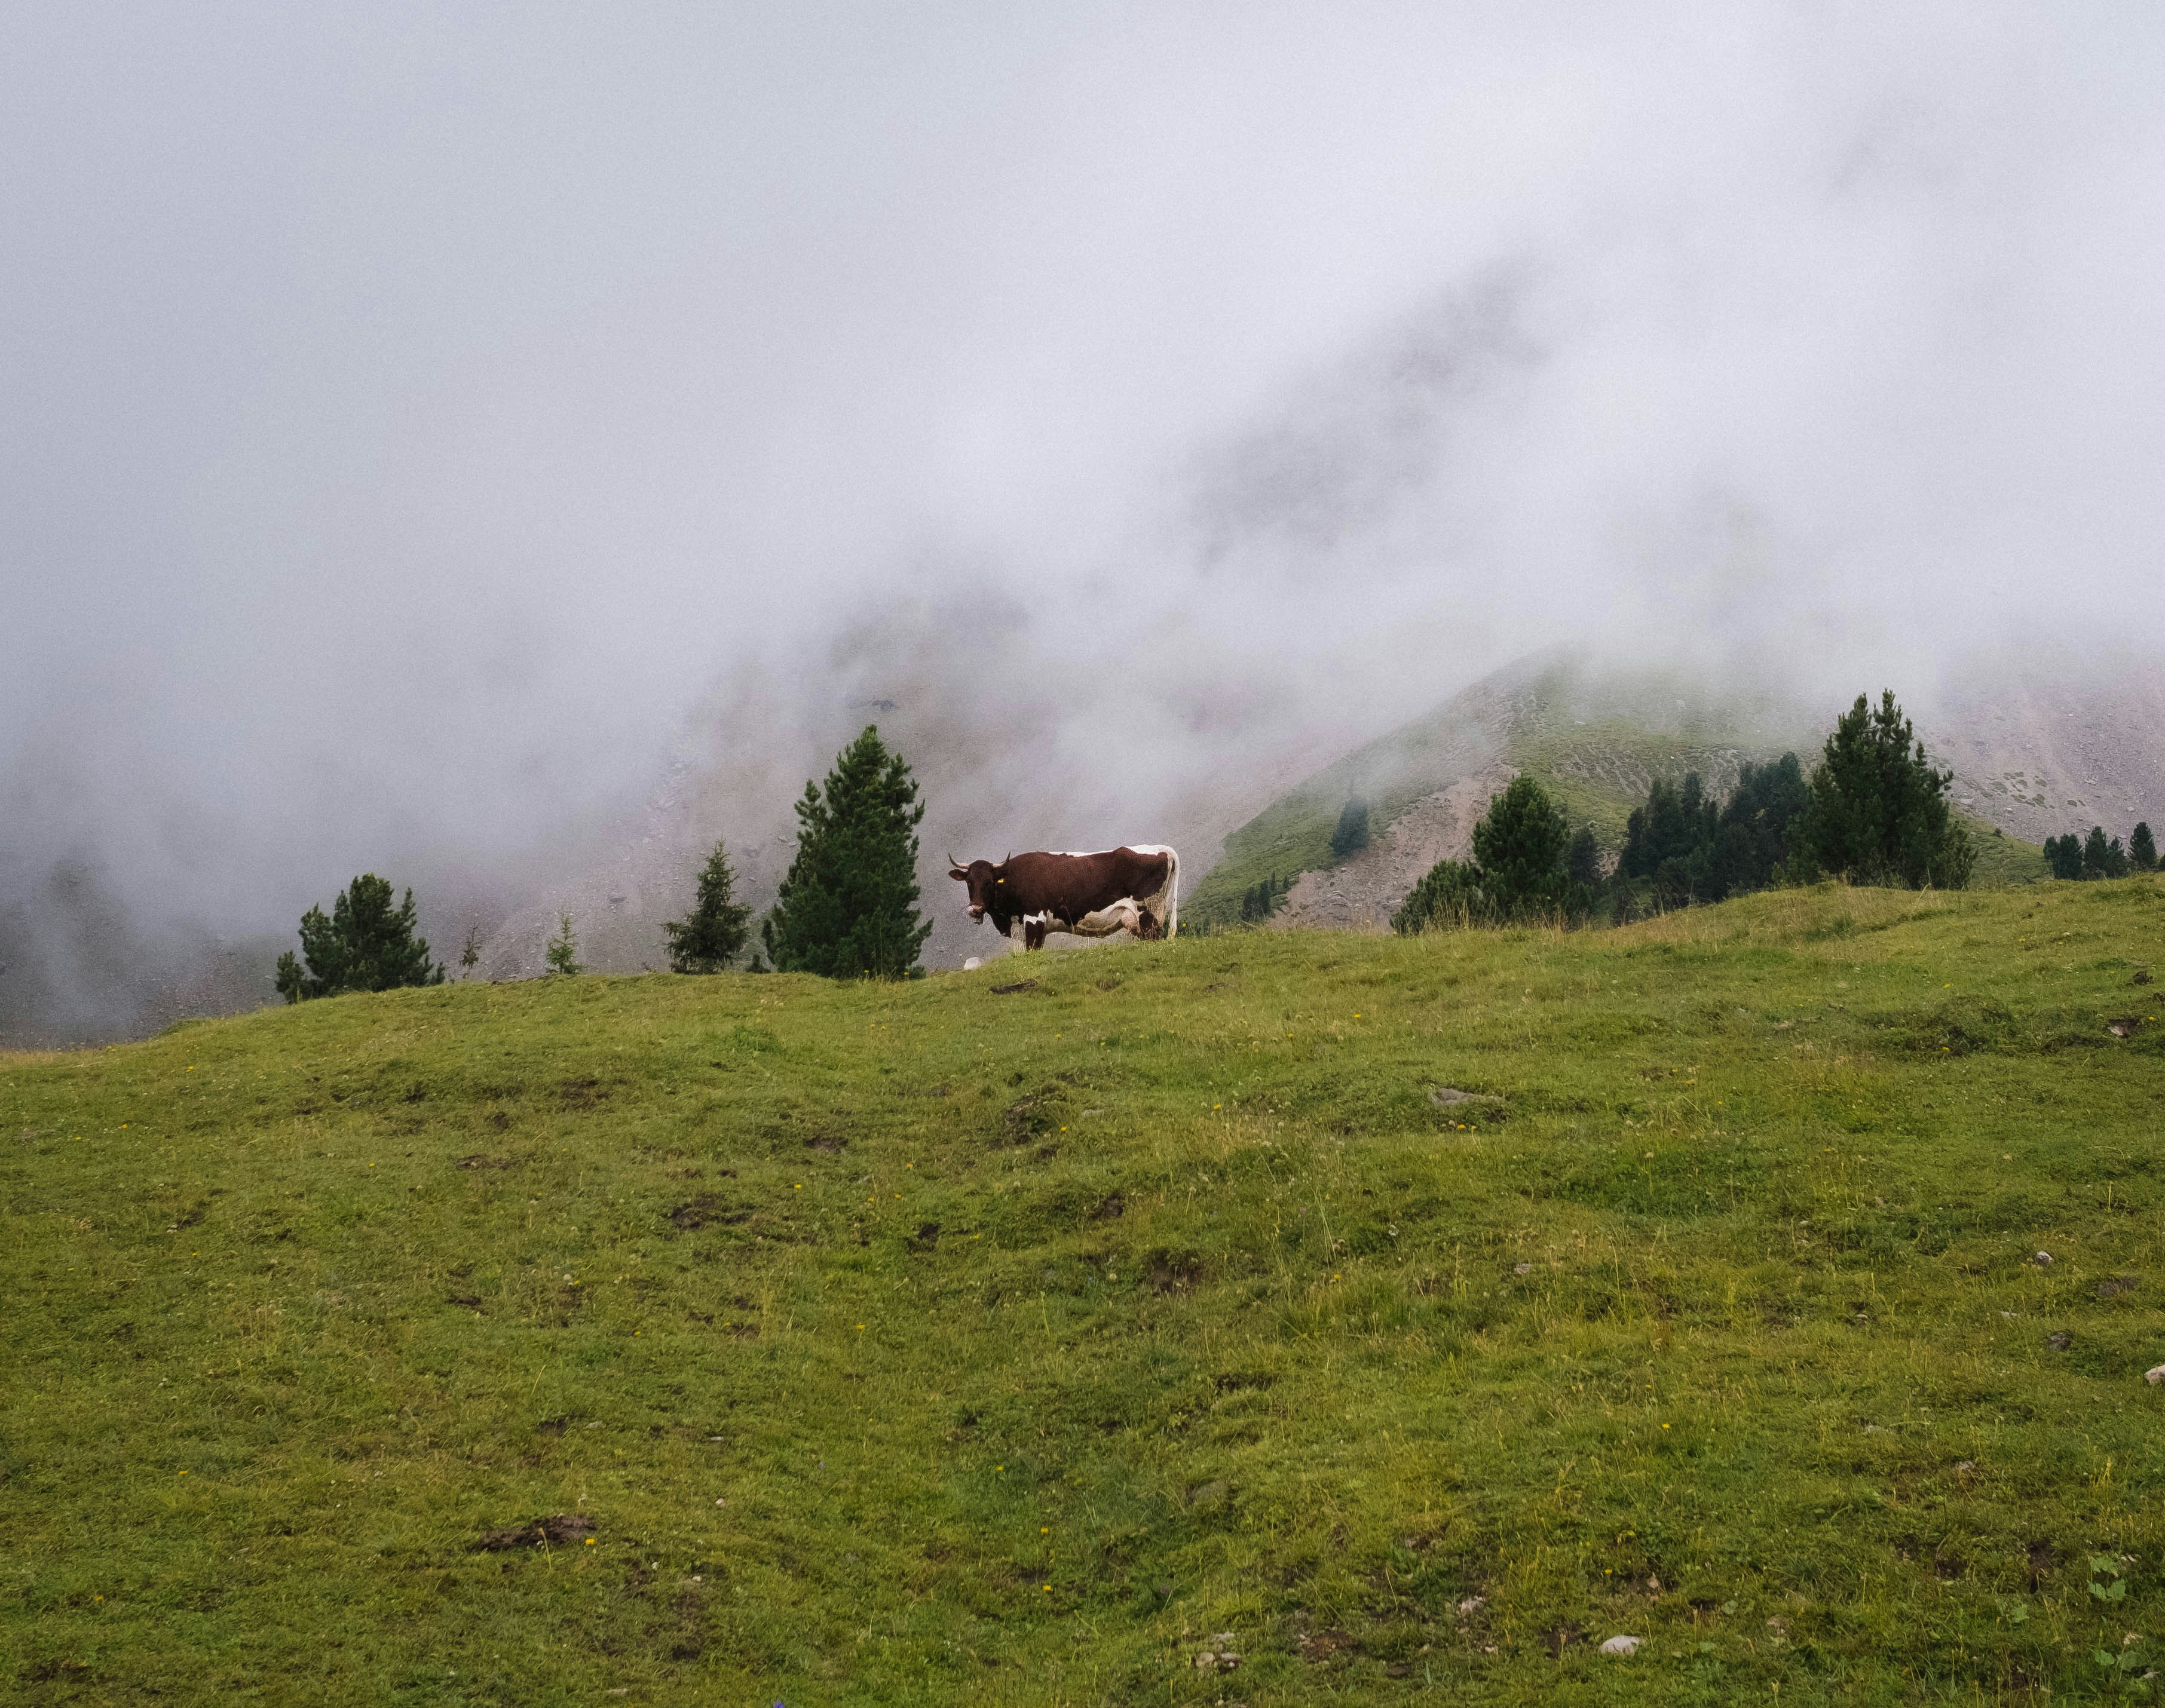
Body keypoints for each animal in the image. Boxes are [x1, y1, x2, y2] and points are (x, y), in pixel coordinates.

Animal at [948, 845, 1180, 952]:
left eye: (989, 882)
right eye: (969, 883)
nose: (975, 909)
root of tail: (1160, 848)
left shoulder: (1034, 919)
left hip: (1148, 915)